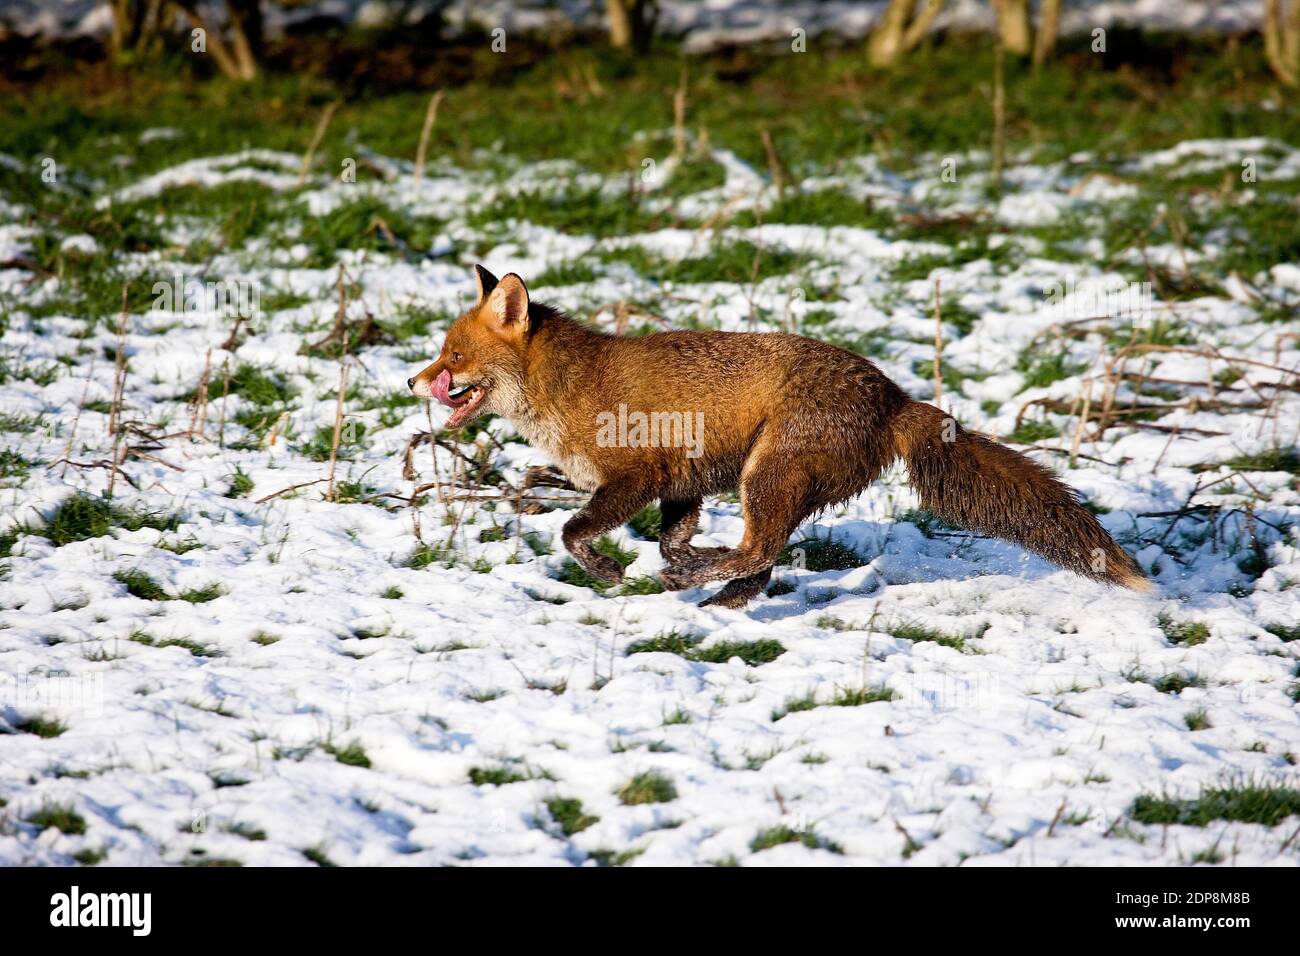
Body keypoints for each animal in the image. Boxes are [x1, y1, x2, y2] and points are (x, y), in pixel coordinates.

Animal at [408, 265, 1152, 609]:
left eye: (453, 357)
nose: (413, 381)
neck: (568, 388)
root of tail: (894, 396)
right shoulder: (682, 485)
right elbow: (662, 536)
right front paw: (671, 562)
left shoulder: (639, 476)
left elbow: (576, 533)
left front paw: (612, 571)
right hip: (767, 483)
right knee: (760, 562)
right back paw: (718, 598)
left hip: (765, 476)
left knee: (760, 550)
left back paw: (704, 584)